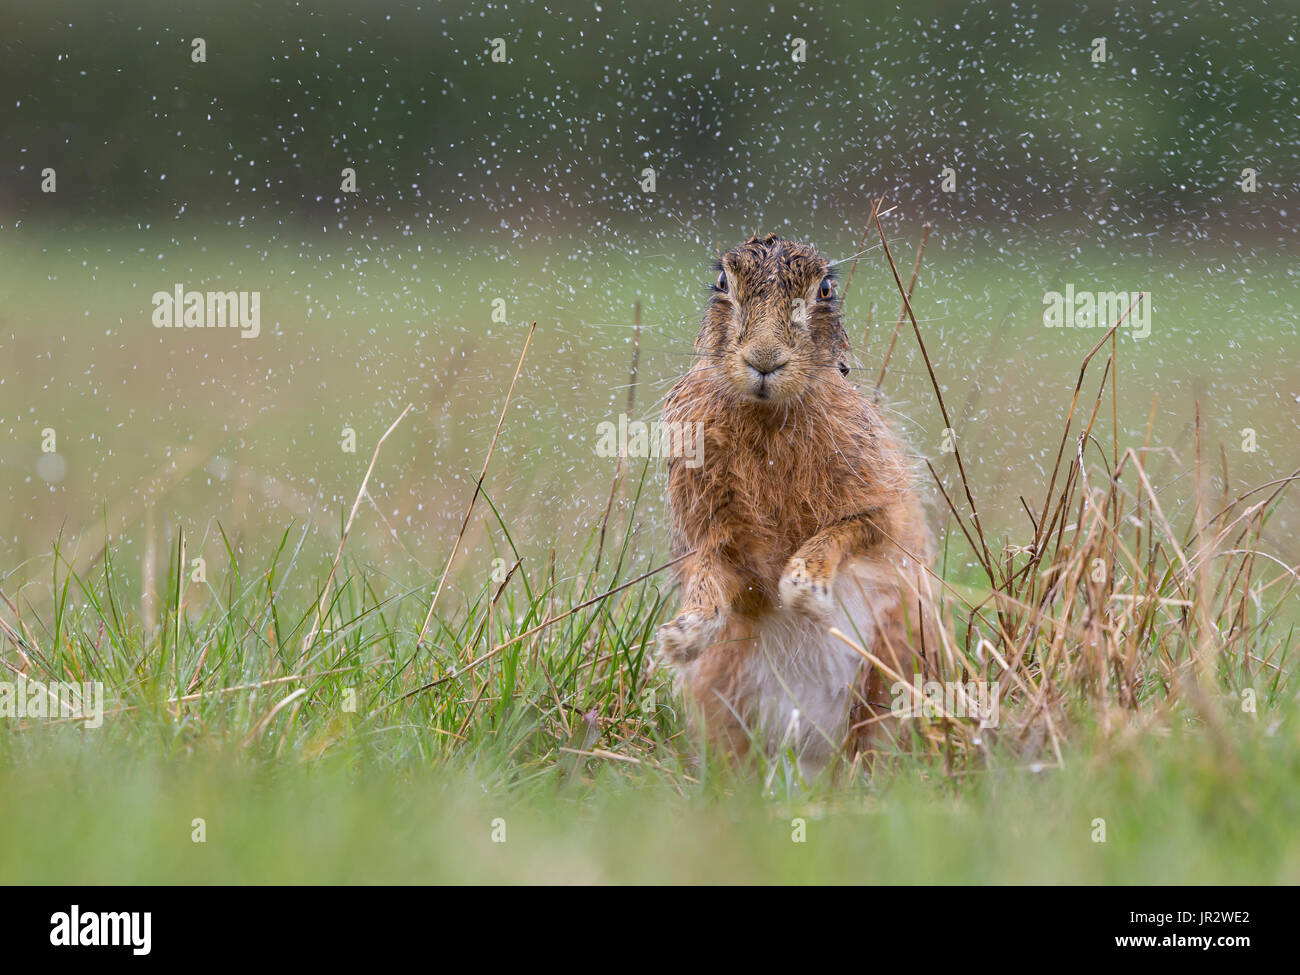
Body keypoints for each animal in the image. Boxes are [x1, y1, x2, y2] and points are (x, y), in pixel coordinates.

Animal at [657, 233, 936, 779]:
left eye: (824, 290)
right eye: (723, 283)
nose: (765, 359)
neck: (768, 418)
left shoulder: (881, 515)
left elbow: (841, 533)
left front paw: (805, 591)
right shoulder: (716, 542)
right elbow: (709, 574)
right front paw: (683, 635)